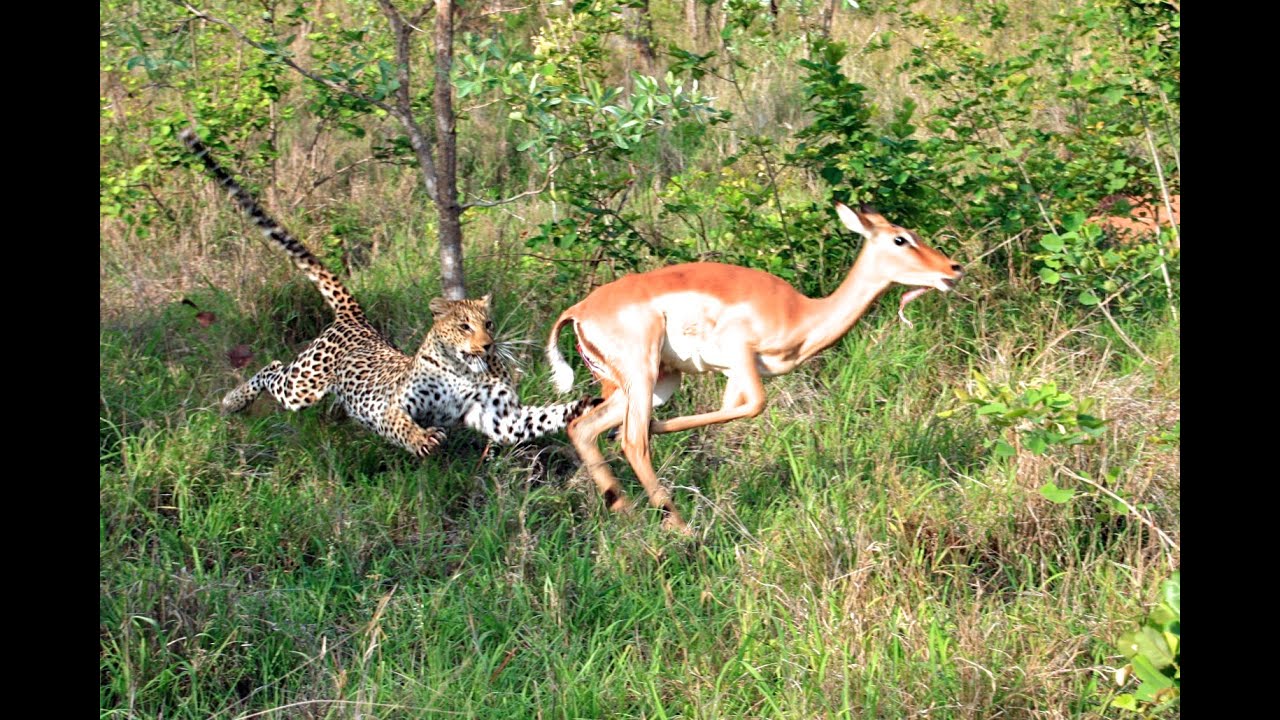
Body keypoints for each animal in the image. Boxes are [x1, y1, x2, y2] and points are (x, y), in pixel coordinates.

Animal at [181, 128, 601, 458]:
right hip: (302, 384)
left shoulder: (503, 420)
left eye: (490, 324)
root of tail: (357, 319)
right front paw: (421, 439)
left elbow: (544, 415)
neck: (467, 371)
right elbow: (400, 422)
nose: (487, 346)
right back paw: (232, 401)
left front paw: (584, 404)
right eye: (465, 326)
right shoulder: (389, 404)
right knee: (271, 368)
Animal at [546, 202, 965, 532]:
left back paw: (627, 511)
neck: (802, 313)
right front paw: (657, 430)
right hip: (643, 375)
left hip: (658, 384)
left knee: (582, 427)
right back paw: (679, 526)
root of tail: (578, 311)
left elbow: (733, 410)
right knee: (632, 442)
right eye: (900, 239)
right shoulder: (741, 356)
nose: (954, 267)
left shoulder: (734, 374)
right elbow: (754, 407)